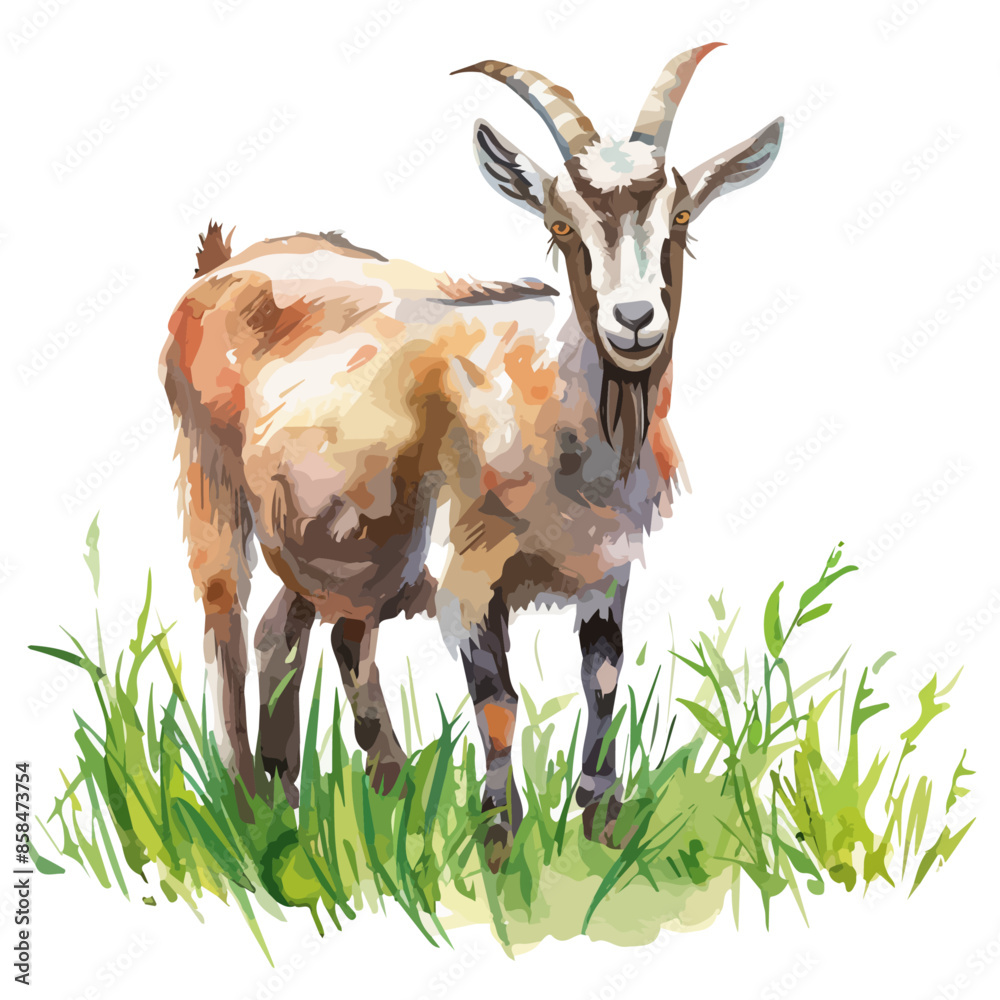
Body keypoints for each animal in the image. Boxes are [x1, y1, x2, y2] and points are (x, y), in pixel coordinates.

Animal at [160, 45, 782, 860]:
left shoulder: (607, 567)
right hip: (212, 481)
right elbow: (498, 700)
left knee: (292, 636)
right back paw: (247, 805)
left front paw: (602, 826)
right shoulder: (472, 573)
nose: (634, 320)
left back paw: (311, 796)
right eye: (560, 224)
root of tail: (220, 262)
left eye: (680, 216)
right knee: (226, 624)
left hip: (336, 538)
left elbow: (603, 680)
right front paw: (498, 843)